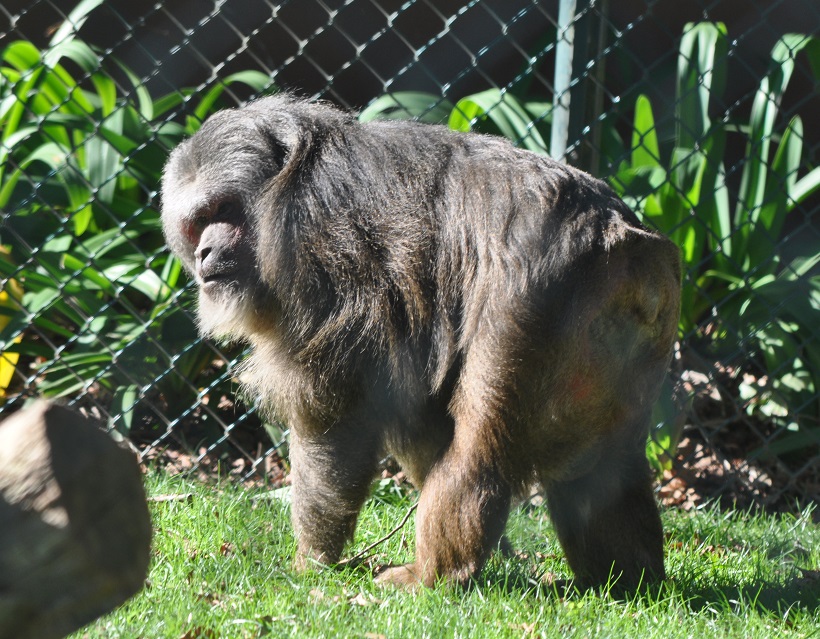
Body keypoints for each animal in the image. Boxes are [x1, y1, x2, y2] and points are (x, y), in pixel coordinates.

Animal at [161, 94, 681, 591]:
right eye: (196, 223)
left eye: (222, 211)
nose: (204, 250)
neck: (281, 188)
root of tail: (614, 238)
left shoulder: (309, 245)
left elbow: (339, 414)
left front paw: (313, 559)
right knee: (608, 466)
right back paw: (627, 580)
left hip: (533, 305)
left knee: (478, 452)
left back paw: (435, 574)